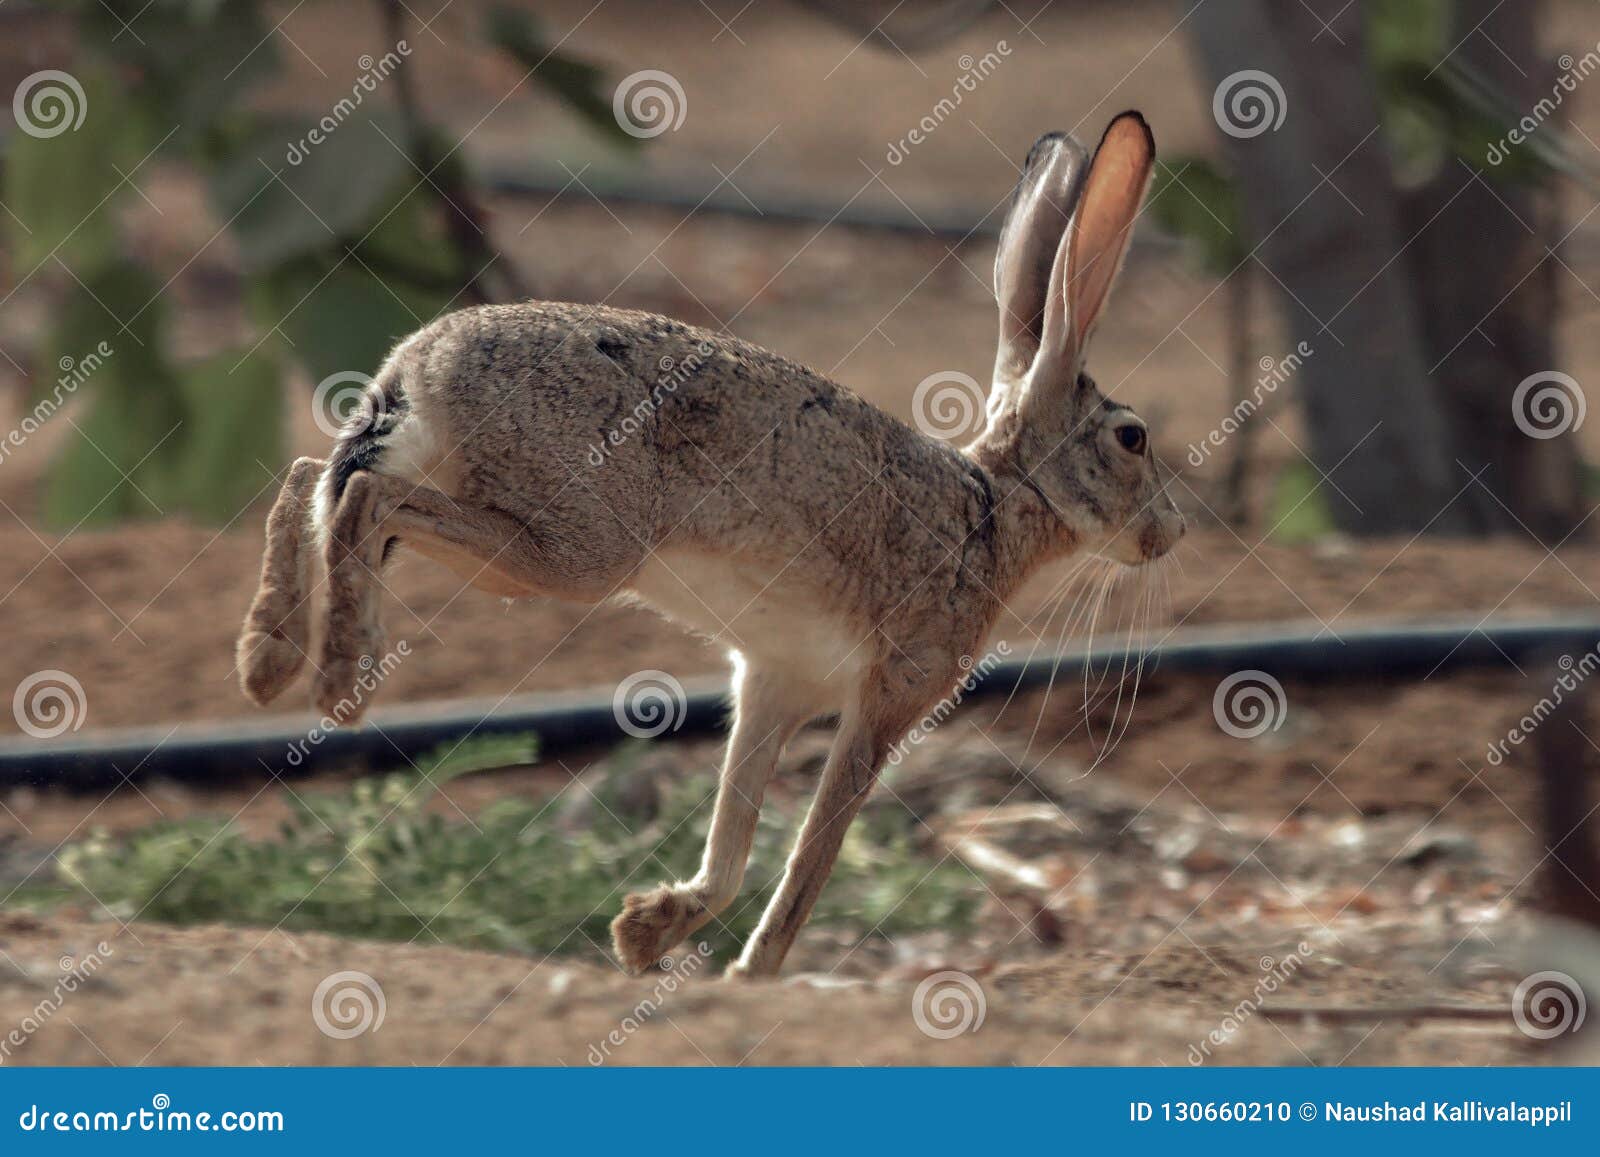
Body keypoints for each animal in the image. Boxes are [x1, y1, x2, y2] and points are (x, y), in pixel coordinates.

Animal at [234, 110, 1183, 979]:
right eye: (1132, 438)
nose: (1171, 532)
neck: (994, 504)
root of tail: (422, 368)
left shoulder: (774, 682)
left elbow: (734, 840)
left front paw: (644, 931)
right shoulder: (890, 693)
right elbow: (811, 857)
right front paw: (753, 973)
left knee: (311, 479)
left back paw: (266, 659)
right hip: (575, 549)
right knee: (365, 497)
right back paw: (340, 674)